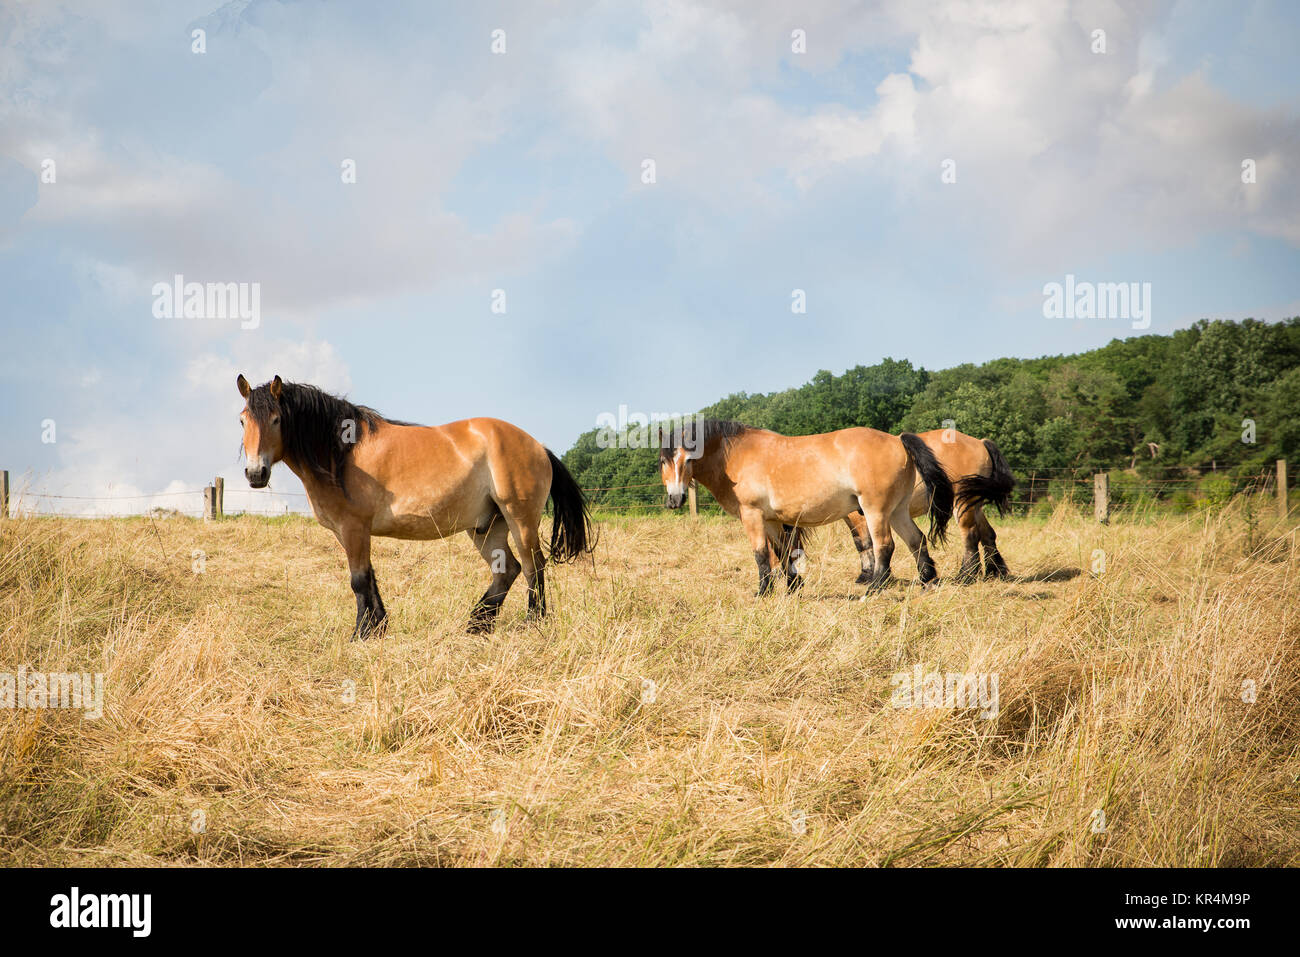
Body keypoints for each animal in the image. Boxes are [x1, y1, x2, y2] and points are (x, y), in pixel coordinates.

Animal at [237, 375, 595, 638]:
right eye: (242, 421)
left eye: (276, 419)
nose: (256, 474)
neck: (342, 453)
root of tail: (539, 446)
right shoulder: (348, 532)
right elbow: (369, 577)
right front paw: (378, 627)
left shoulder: (354, 528)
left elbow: (358, 580)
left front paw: (361, 633)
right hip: (486, 527)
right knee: (507, 570)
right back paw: (476, 625)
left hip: (520, 519)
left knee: (534, 568)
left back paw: (532, 623)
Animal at [658, 419, 954, 595]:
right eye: (663, 462)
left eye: (688, 460)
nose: (675, 500)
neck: (735, 457)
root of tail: (897, 439)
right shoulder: (772, 520)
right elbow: (783, 552)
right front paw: (792, 588)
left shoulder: (752, 515)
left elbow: (761, 554)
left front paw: (763, 591)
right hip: (897, 511)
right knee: (917, 540)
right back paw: (928, 581)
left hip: (876, 510)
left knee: (885, 545)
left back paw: (874, 589)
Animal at [841, 429, 1014, 583]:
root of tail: (981, 442)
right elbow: (860, 542)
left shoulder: (860, 516)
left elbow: (865, 543)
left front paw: (869, 576)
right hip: (974, 505)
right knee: (988, 534)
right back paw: (994, 572)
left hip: (962, 503)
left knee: (970, 535)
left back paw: (965, 576)